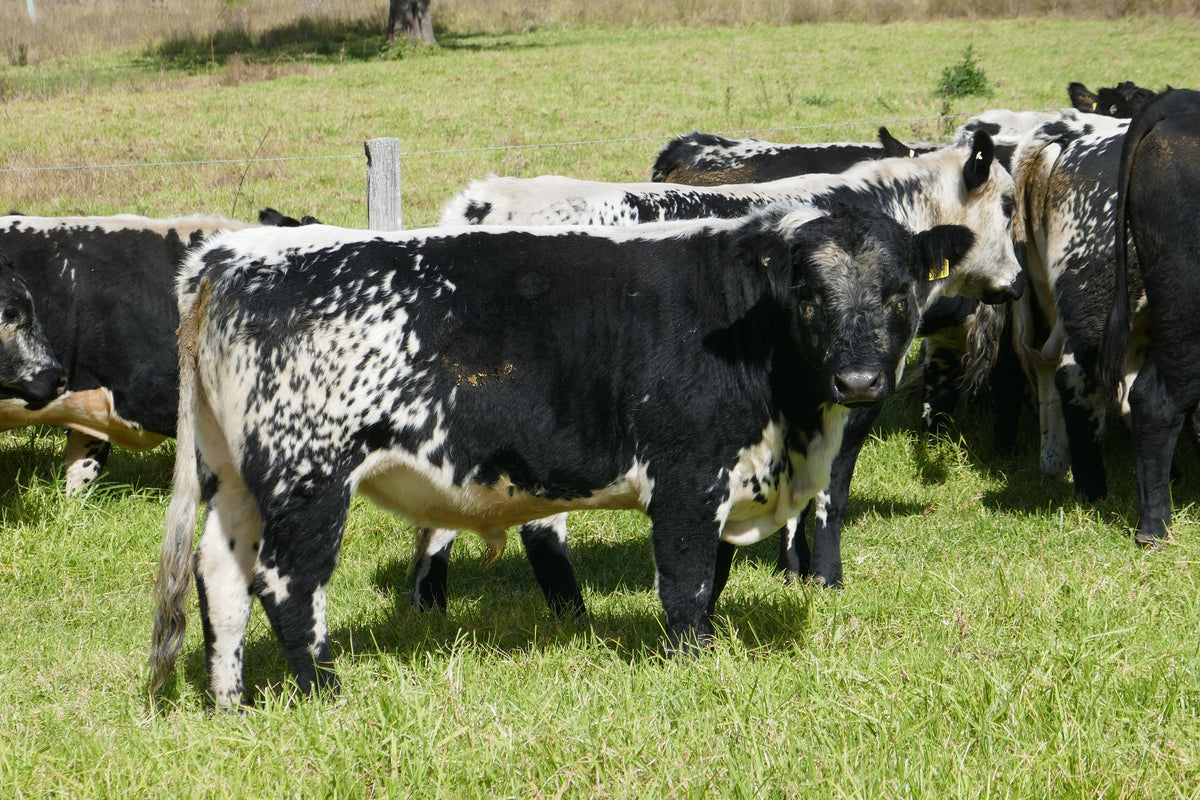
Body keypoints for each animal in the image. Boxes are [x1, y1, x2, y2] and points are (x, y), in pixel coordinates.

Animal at [148, 207, 976, 709]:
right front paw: (692, 671)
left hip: (237, 479)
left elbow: (712, 578)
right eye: (808, 292)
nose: (860, 381)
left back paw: (230, 702)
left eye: (900, 290)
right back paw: (326, 695)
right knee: (288, 583)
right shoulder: (686, 475)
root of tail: (236, 251)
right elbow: (685, 584)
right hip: (308, 474)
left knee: (219, 577)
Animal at [422, 132, 1022, 603]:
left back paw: (432, 607)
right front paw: (825, 579)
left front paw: (792, 569)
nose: (1017, 283)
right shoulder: (851, 397)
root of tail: (480, 201)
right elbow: (832, 493)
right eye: (1009, 204)